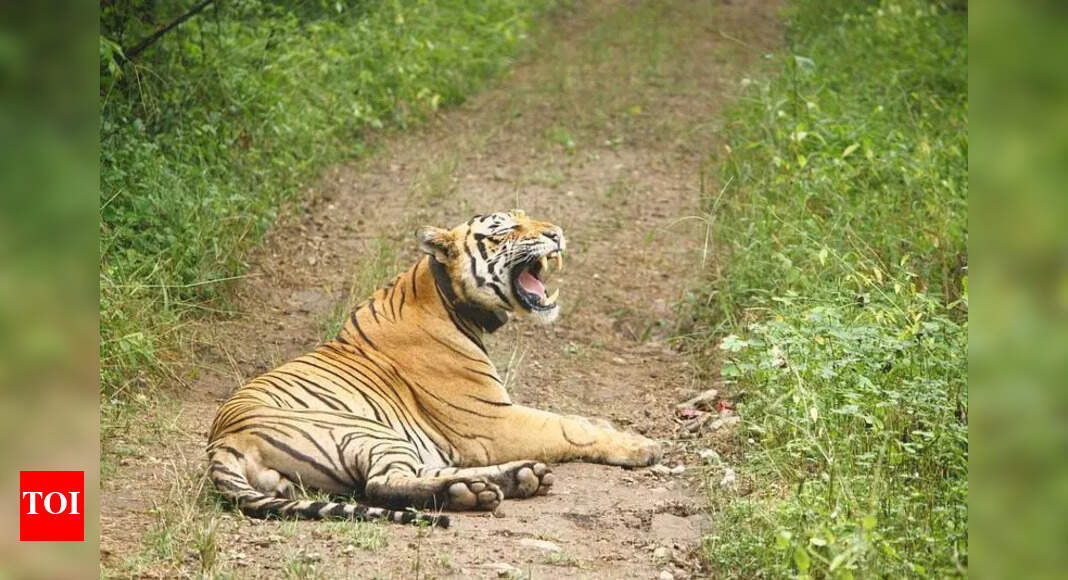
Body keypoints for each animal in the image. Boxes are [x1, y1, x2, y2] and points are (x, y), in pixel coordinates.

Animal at [207, 210, 662, 527]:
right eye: (504, 229)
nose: (556, 233)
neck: (446, 295)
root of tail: (220, 444)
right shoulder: (493, 421)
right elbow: (566, 428)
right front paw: (640, 445)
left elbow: (573, 418)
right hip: (364, 431)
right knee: (380, 484)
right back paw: (474, 492)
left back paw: (512, 479)